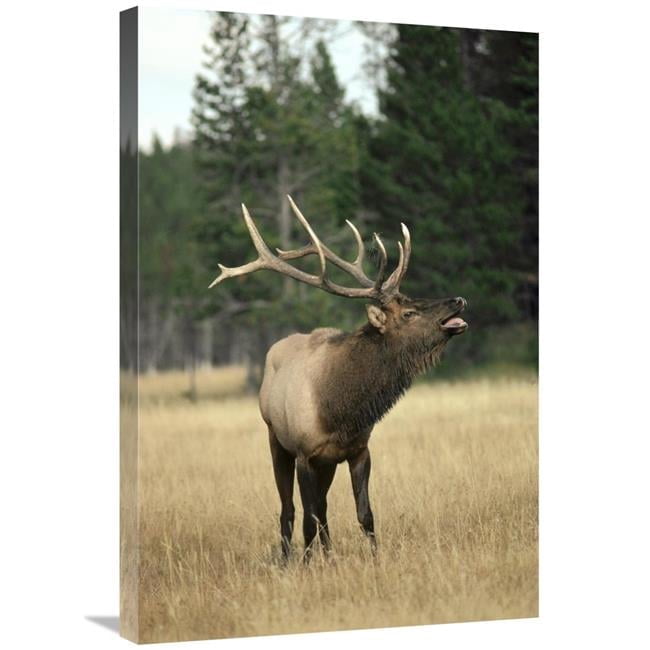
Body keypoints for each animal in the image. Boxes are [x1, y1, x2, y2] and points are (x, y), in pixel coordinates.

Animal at [210, 196, 468, 560]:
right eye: (409, 312)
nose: (458, 299)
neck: (340, 410)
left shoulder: (357, 450)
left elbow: (364, 514)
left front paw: (373, 558)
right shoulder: (305, 454)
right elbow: (308, 517)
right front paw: (306, 563)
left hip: (327, 462)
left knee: (323, 507)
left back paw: (328, 554)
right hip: (276, 440)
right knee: (290, 509)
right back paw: (289, 556)